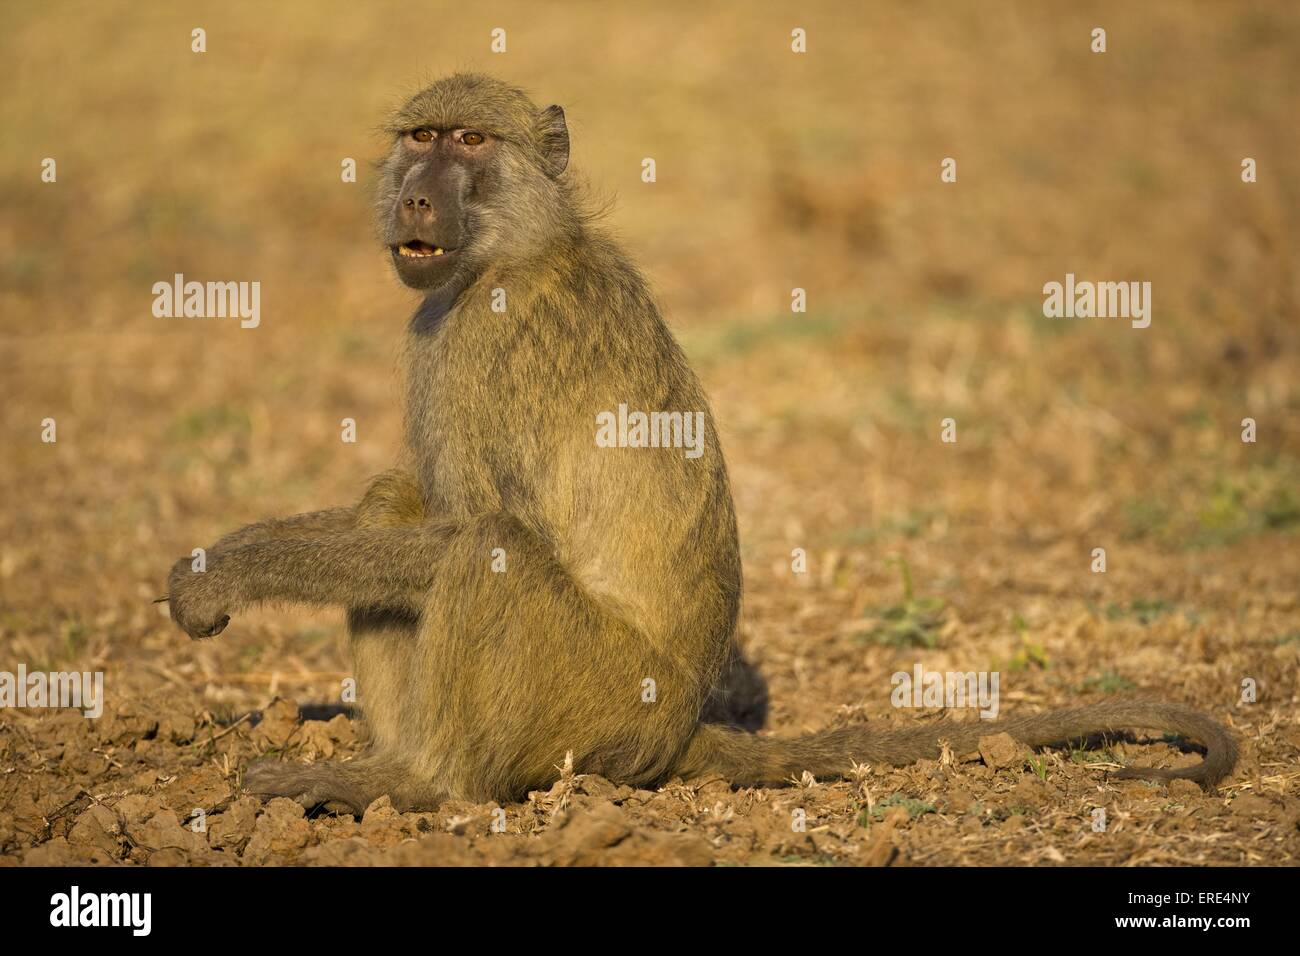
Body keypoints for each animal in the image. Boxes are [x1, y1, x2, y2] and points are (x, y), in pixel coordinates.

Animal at [163, 74, 1236, 815]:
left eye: (469, 141)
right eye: (419, 140)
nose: (417, 199)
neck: (518, 253)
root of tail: (677, 728)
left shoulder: (483, 345)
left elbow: (478, 528)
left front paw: (229, 569)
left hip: (597, 708)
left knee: (486, 549)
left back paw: (425, 785)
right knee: (396, 500)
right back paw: (391, 763)